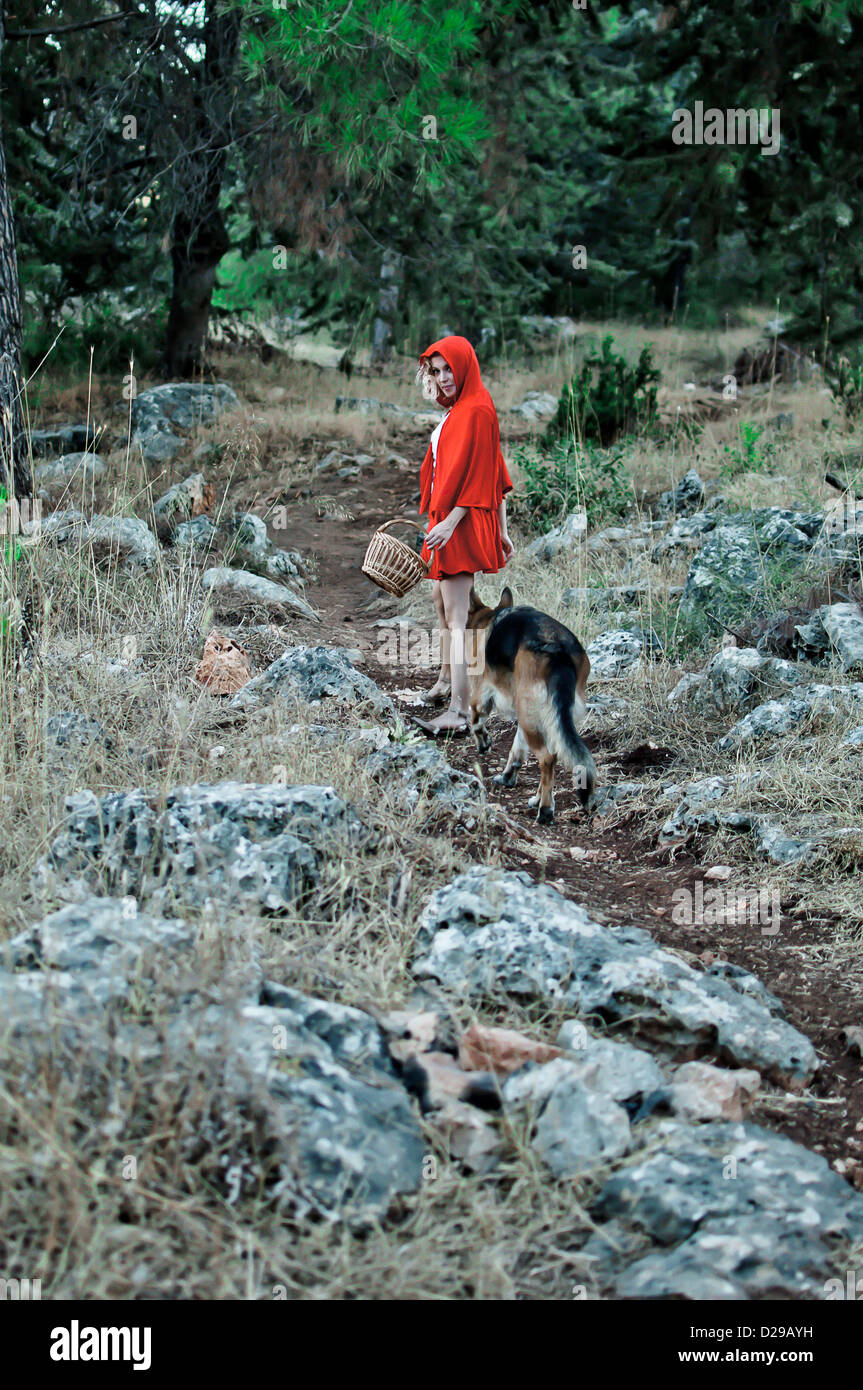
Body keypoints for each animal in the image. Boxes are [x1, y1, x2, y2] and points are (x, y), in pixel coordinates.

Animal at [464, 585, 597, 823]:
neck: (487, 620)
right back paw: (539, 798)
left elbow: (476, 723)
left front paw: (484, 742)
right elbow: (516, 749)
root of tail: (559, 651)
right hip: (543, 718)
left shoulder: (479, 697)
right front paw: (508, 776)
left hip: (530, 716)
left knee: (548, 758)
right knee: (553, 755)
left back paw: (545, 809)